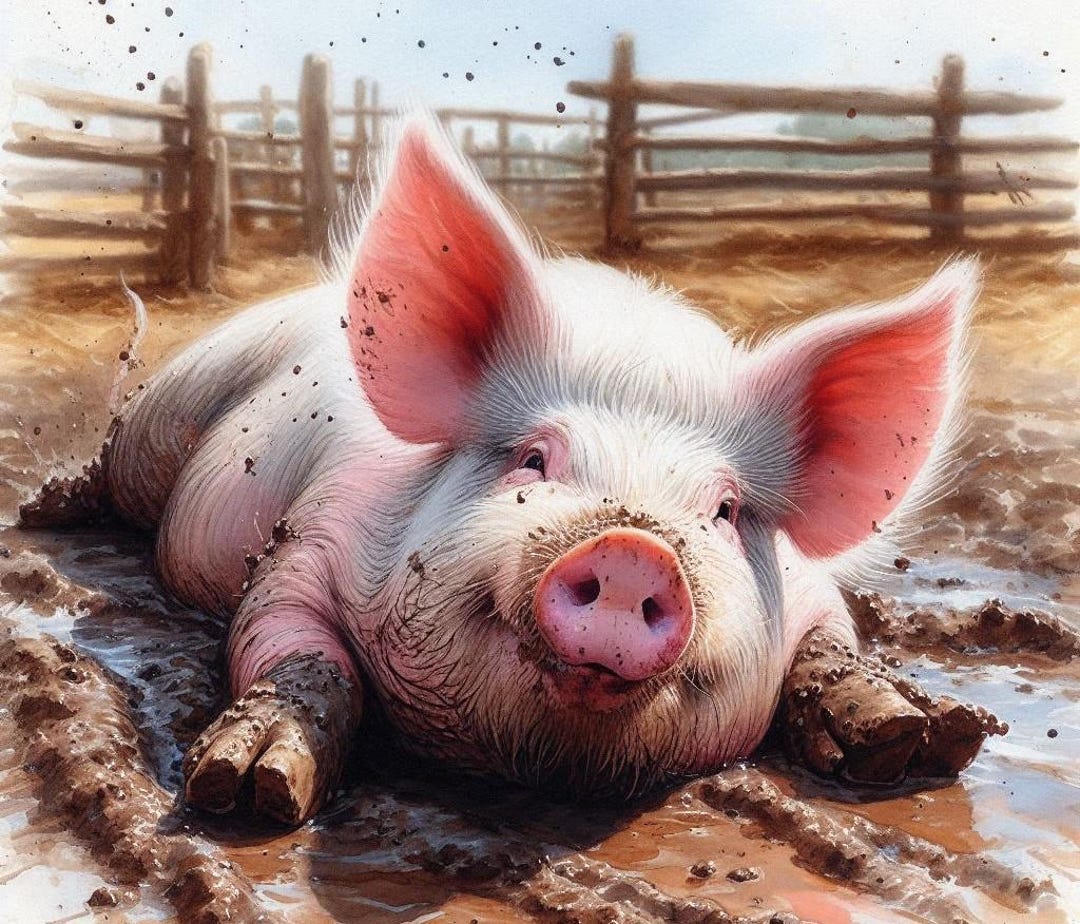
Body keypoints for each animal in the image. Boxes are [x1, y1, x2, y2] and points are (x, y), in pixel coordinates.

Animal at [23, 117, 984, 826]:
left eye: (723, 509)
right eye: (532, 457)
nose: (633, 549)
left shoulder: (809, 588)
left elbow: (834, 646)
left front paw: (918, 741)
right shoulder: (310, 539)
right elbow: (295, 651)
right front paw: (245, 791)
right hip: (164, 420)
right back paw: (46, 508)